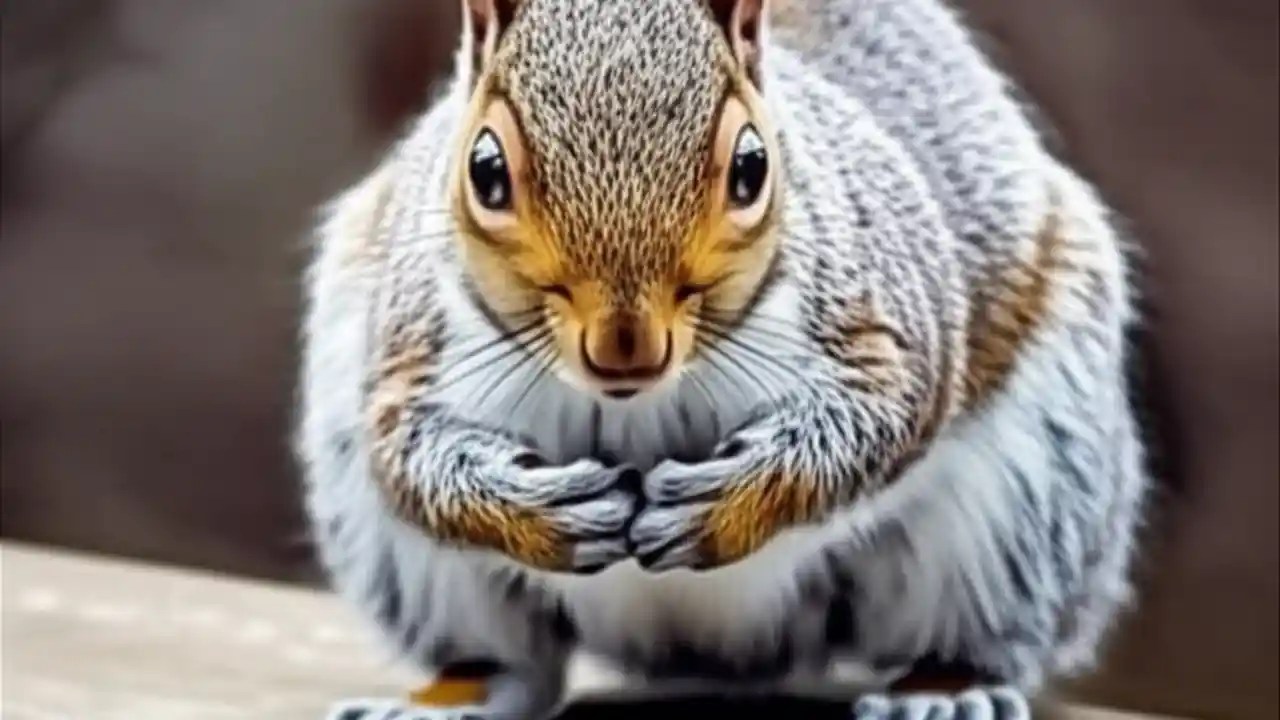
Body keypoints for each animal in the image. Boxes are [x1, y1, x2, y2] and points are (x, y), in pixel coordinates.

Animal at [296, 0, 1148, 718]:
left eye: (751, 168)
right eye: (485, 171)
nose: (626, 345)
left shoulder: (884, 315)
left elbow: (885, 413)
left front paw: (723, 505)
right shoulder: (410, 343)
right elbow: (405, 452)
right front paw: (537, 510)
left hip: (1020, 508)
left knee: (970, 626)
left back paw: (942, 689)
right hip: (413, 561)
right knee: (513, 661)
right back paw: (453, 696)